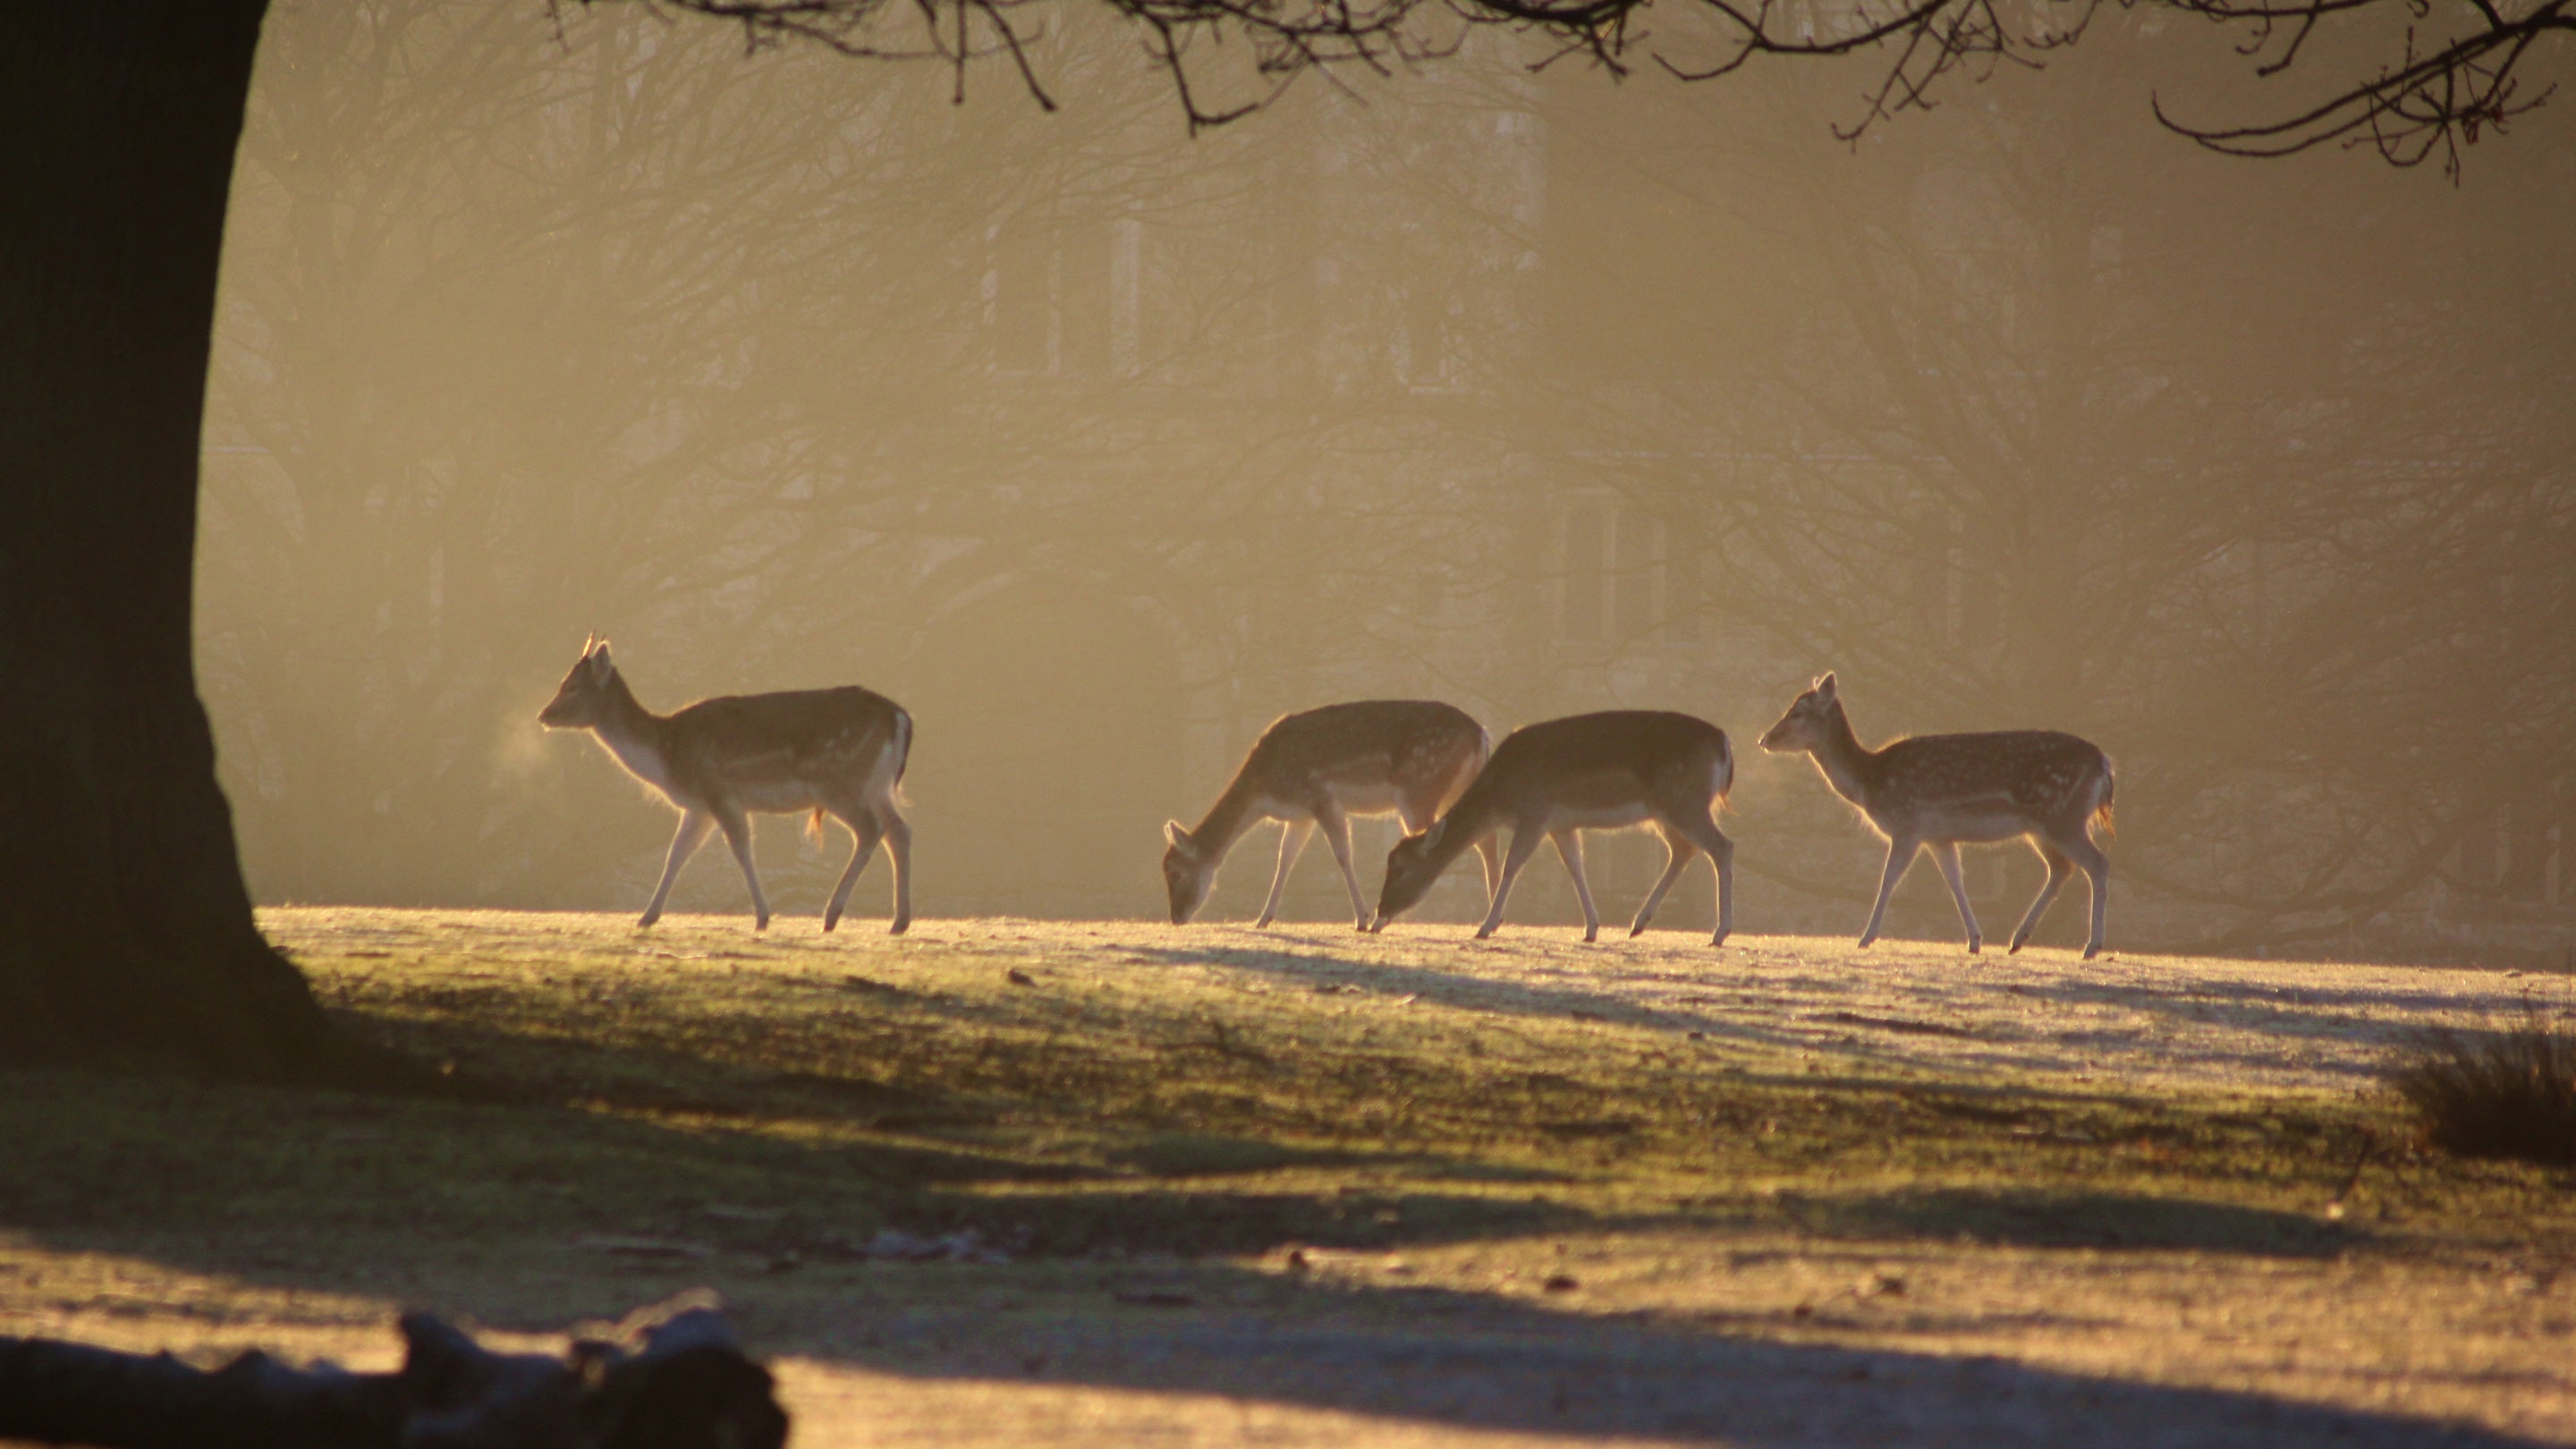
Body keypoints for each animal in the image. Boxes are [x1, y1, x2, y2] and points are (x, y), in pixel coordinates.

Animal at [536, 637, 912, 935]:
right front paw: (647, 917)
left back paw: (832, 915)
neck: (666, 755)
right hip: (877, 787)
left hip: (840, 783)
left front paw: (762, 917)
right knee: (900, 830)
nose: (544, 715)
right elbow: (676, 854)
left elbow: (741, 849)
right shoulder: (698, 806)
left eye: (572, 686)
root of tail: (901, 719)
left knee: (871, 829)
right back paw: (899, 922)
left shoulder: (719, 792)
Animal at [1163, 700, 1503, 930]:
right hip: (1460, 789)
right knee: (1486, 840)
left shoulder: (1321, 797)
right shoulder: (1301, 815)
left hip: (1420, 789)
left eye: (1175, 872)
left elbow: (1342, 854)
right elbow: (1285, 858)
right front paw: (1263, 919)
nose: (1176, 917)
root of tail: (1482, 735)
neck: (1262, 790)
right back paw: (1492, 919)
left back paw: (1384, 920)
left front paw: (1361, 919)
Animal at [1372, 710, 1737, 945]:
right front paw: (1591, 928)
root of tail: (1724, 746)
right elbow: (1575, 866)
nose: (1381, 911)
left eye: (1401, 868)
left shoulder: (1535, 813)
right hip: (1666, 810)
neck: (1498, 797)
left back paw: (1719, 933)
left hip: (1683, 801)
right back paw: (1638, 925)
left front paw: (1486, 926)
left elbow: (1512, 865)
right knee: (1684, 850)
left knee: (1722, 846)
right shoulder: (1561, 824)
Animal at [1757, 673, 2113, 959]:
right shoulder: (1938, 837)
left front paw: (1865, 938)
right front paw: (1974, 940)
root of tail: (2103, 763)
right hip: (2043, 826)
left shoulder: (1908, 825)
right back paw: (2017, 940)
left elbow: (1888, 878)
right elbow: (1954, 880)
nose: (1764, 739)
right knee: (2062, 868)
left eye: (1799, 712)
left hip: (2062, 817)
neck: (1870, 780)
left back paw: (2091, 947)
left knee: (2096, 863)